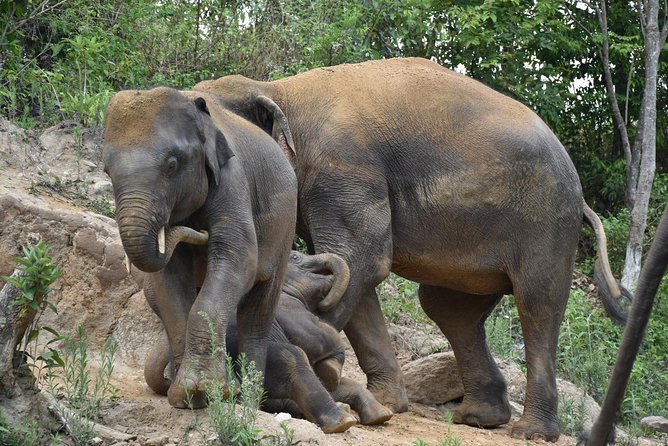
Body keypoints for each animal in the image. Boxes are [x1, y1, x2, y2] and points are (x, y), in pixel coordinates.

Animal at [102, 87, 298, 409]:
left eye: (171, 165)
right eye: (107, 172)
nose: (197, 231)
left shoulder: (232, 179)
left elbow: (239, 257)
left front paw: (204, 391)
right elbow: (169, 278)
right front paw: (185, 396)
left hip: (285, 231)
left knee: (257, 313)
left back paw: (248, 402)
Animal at [143, 250, 393, 433]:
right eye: (296, 257)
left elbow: (334, 380)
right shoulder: (292, 311)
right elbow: (324, 340)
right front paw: (332, 369)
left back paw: (377, 415)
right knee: (294, 359)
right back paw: (343, 420)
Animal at [192, 57, 627, 440]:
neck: (278, 89)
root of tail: (581, 198)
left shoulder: (344, 166)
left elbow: (361, 258)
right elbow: (352, 270)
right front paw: (386, 404)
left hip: (546, 222)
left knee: (536, 305)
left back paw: (529, 432)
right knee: (449, 309)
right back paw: (480, 418)